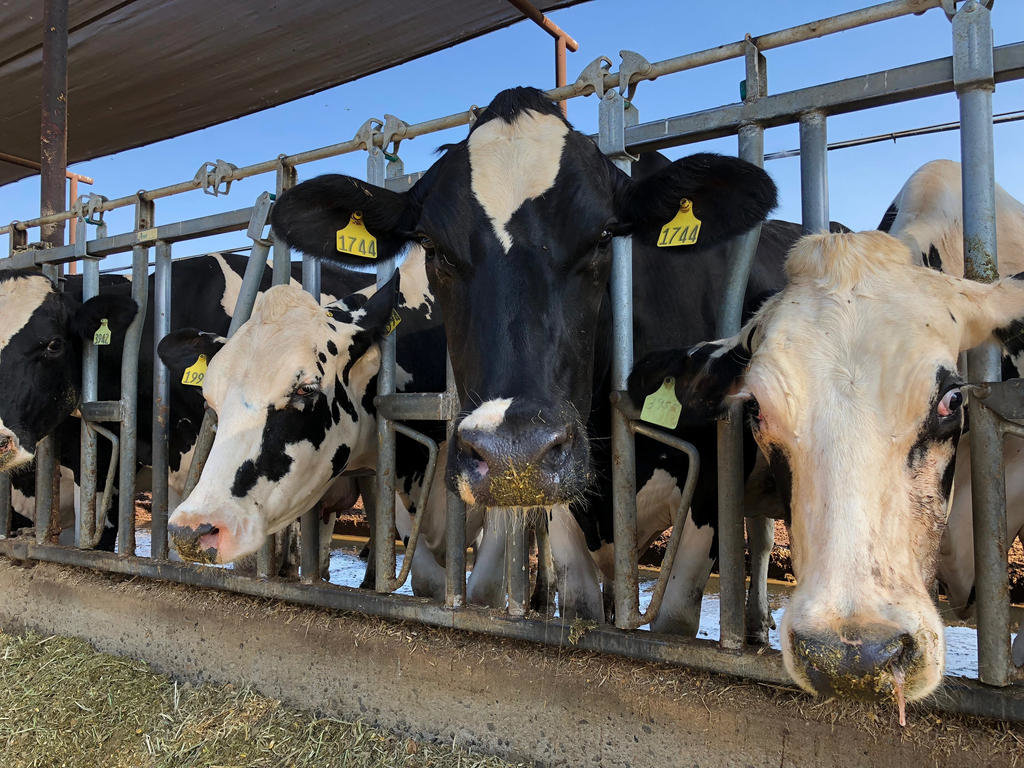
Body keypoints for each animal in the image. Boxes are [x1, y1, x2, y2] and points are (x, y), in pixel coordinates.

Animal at [270, 85, 778, 623]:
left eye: (604, 236)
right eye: (431, 244)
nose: (515, 455)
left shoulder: (712, 491)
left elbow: (675, 614)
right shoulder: (558, 513)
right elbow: (579, 604)